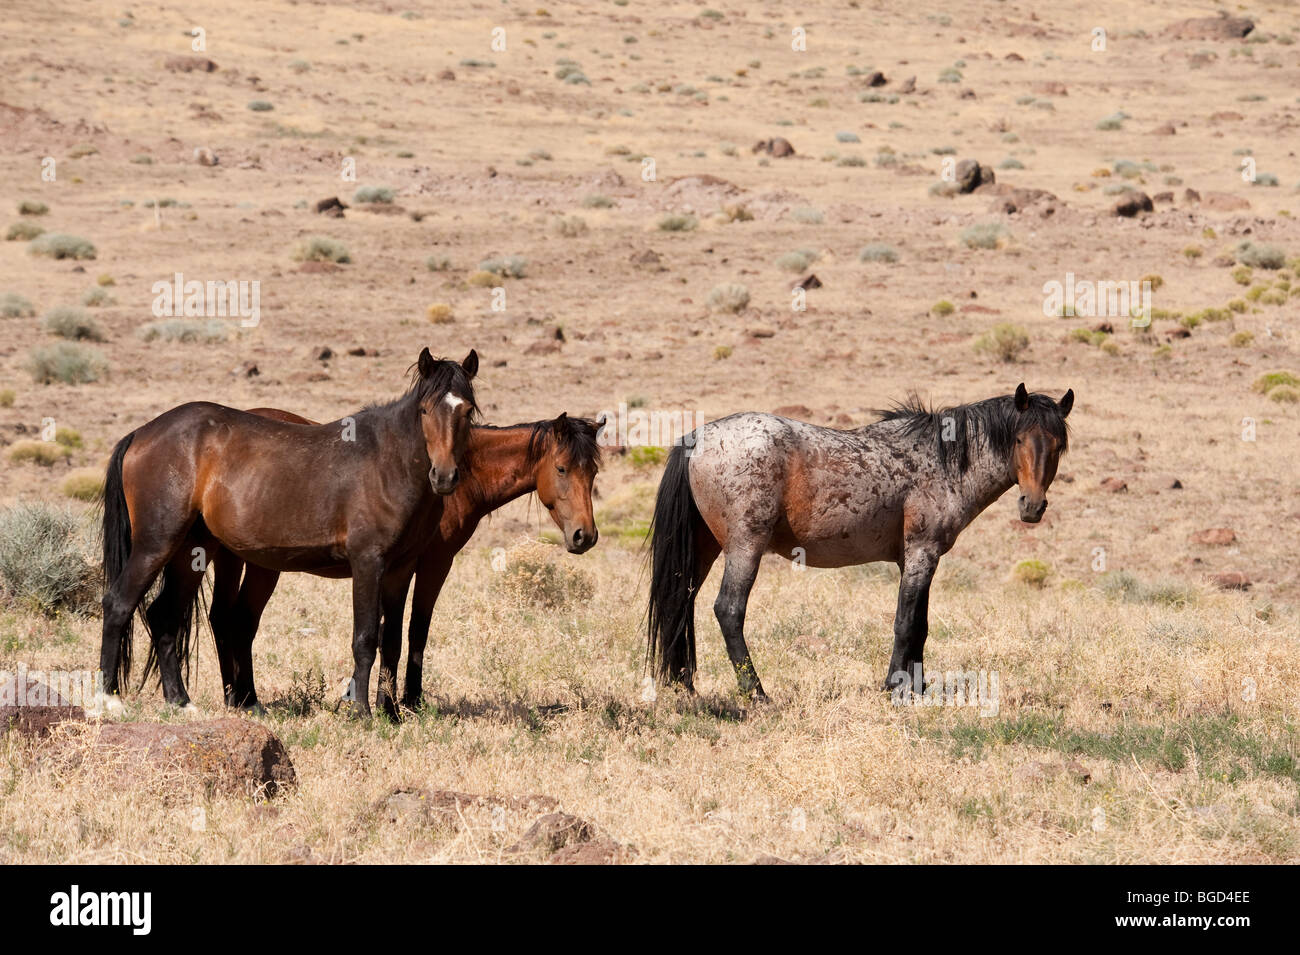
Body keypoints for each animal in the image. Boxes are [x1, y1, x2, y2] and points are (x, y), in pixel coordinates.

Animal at [97, 348, 480, 717]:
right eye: (425, 410)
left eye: (466, 411)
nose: (444, 476)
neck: (387, 462)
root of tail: (142, 433)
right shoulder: (368, 563)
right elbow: (365, 638)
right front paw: (362, 712)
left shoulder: (401, 570)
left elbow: (393, 642)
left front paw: (392, 713)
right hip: (156, 545)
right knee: (119, 604)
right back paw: (109, 701)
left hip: (191, 552)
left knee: (163, 617)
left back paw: (180, 701)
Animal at [202, 410, 602, 719]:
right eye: (562, 468)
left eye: (593, 473)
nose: (584, 536)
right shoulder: (431, 563)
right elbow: (414, 631)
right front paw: (407, 700)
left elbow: (386, 631)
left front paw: (377, 699)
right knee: (236, 620)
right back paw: (244, 699)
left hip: (244, 560)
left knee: (230, 619)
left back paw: (239, 698)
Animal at [646, 383, 1073, 700]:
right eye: (1019, 439)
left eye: (1057, 445)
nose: (1032, 506)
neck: (942, 461)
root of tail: (697, 438)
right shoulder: (922, 553)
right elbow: (906, 623)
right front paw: (894, 688)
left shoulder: (915, 559)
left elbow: (921, 624)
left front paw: (917, 689)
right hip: (744, 548)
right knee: (728, 610)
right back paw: (757, 693)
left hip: (704, 549)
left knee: (680, 605)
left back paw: (684, 685)